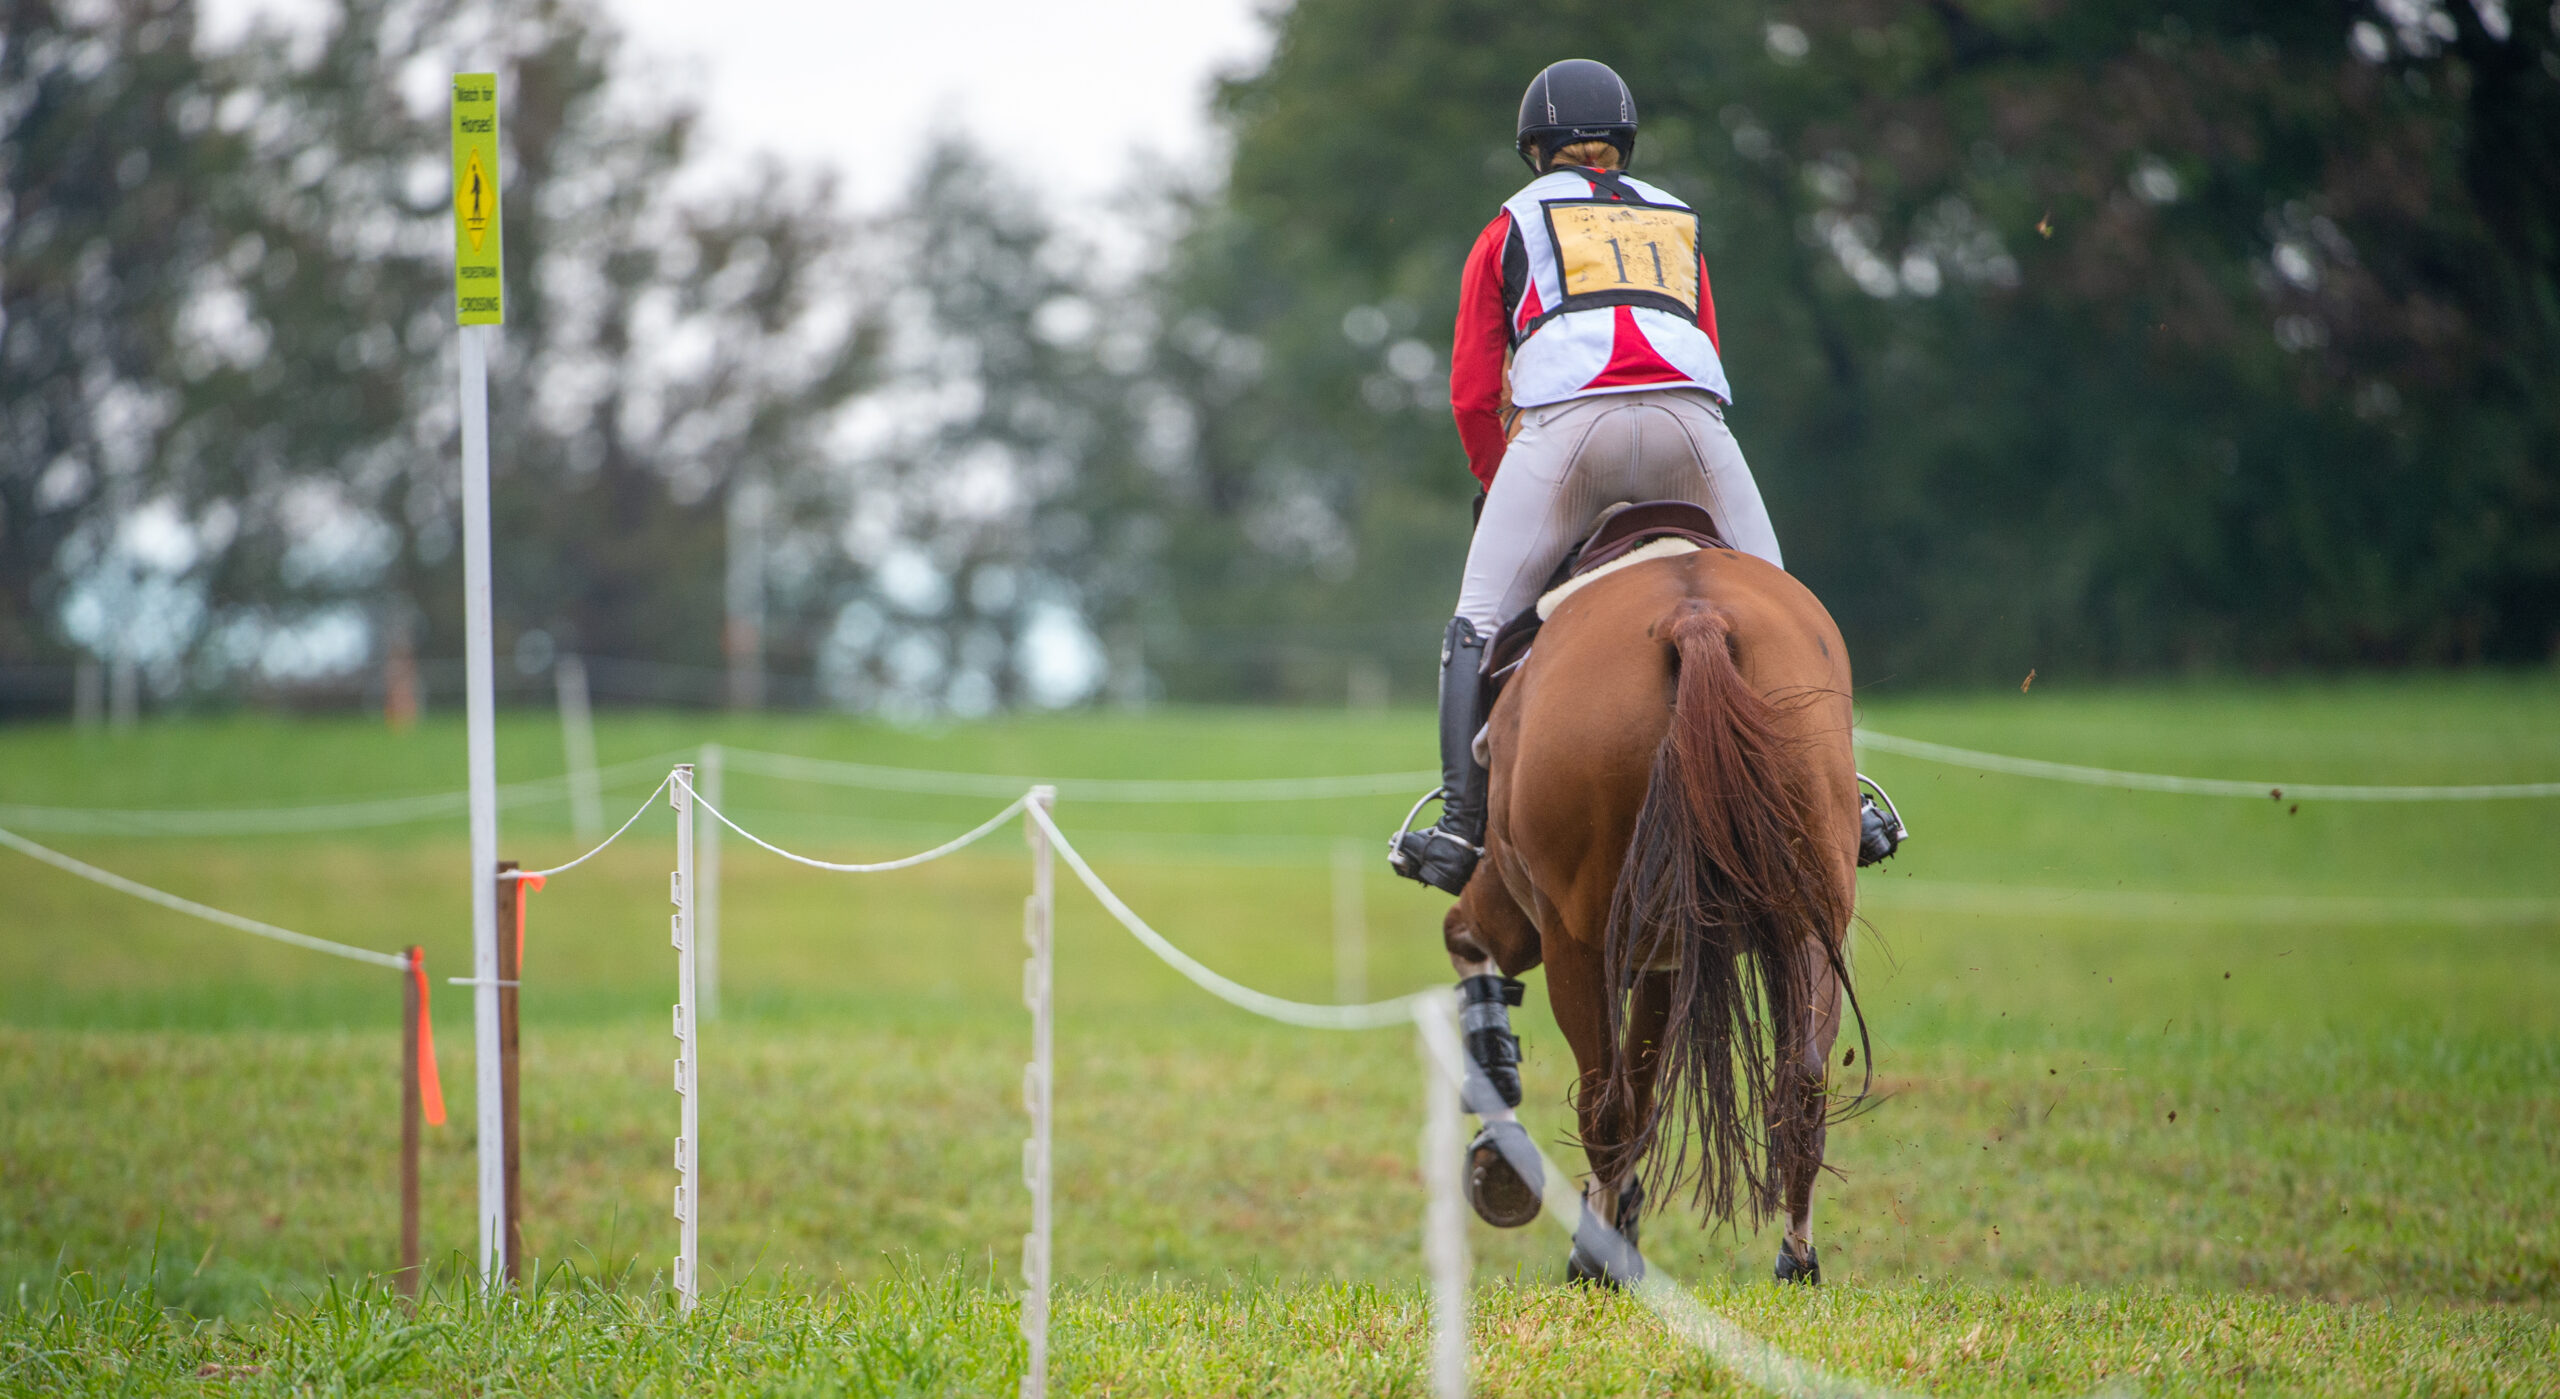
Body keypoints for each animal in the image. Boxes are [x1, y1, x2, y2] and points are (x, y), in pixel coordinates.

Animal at [1442, 543, 1863, 1285]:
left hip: (1576, 942)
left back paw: (1596, 1257)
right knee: (1802, 1084)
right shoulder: (1670, 957)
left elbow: (1466, 943)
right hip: (1808, 917)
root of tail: (1693, 619)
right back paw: (1795, 1259)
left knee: (1605, 1105)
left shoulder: (1523, 915)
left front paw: (1499, 1139)